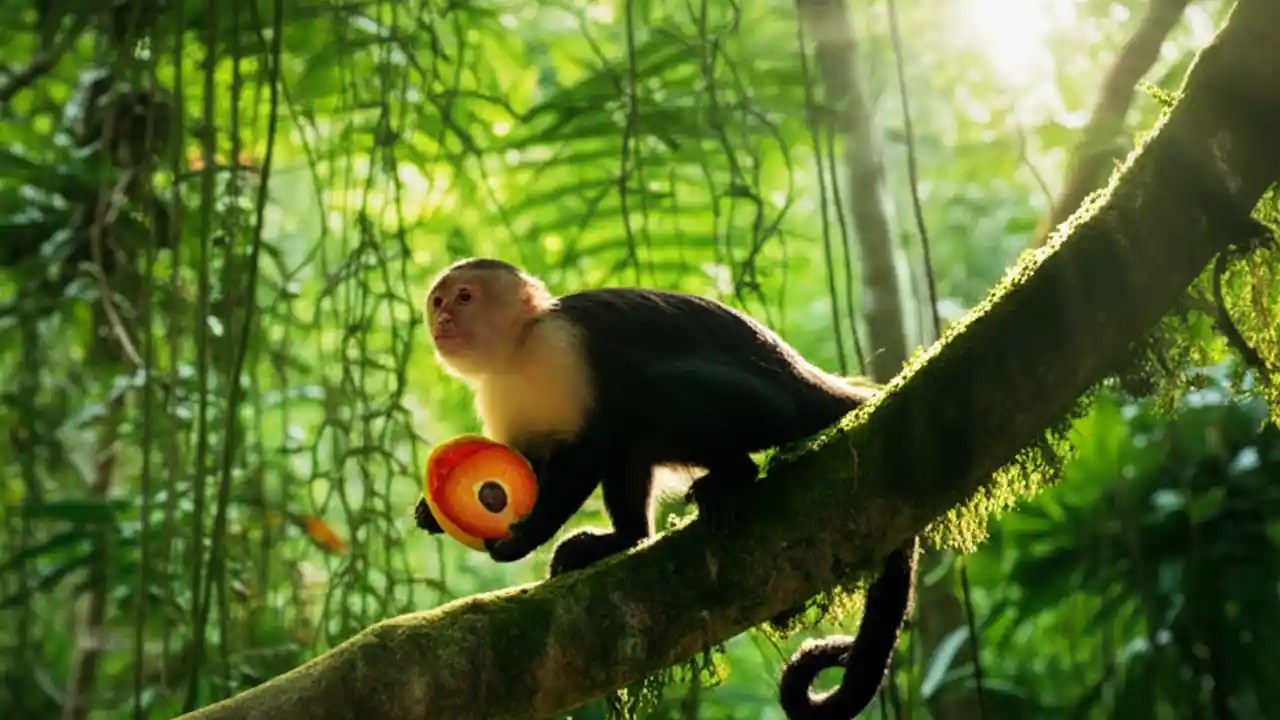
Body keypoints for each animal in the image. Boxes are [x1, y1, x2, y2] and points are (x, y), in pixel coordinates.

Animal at [414, 257, 917, 719]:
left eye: (465, 297)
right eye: (438, 302)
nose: (442, 320)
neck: (518, 349)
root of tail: (807, 379)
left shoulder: (560, 347)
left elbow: (588, 446)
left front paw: (523, 537)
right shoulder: (498, 393)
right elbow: (531, 464)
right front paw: (434, 512)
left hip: (769, 406)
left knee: (649, 395)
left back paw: (732, 477)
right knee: (631, 440)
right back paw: (625, 539)